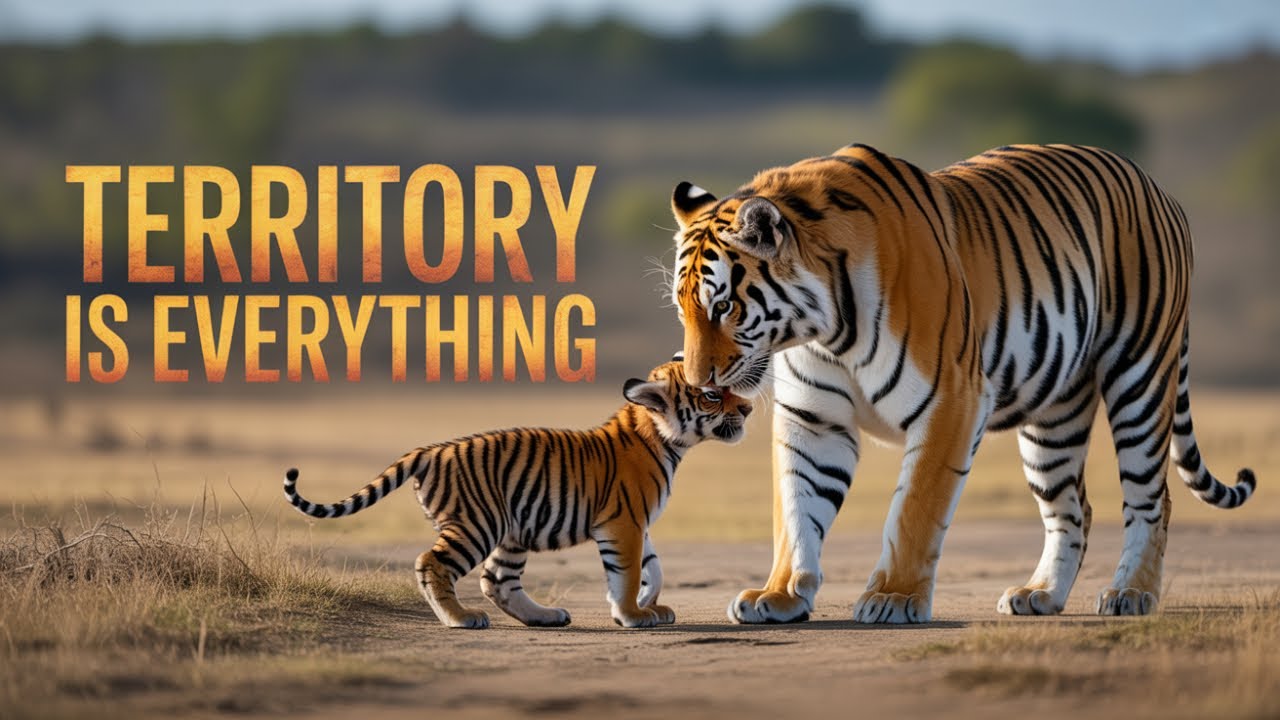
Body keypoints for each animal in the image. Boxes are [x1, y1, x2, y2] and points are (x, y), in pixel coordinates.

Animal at [283, 359, 752, 629]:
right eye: (713, 395)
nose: (748, 408)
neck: (666, 439)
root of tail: (429, 450)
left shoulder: (637, 522)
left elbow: (653, 567)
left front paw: (651, 606)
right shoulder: (623, 523)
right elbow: (628, 571)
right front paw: (632, 615)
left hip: (510, 530)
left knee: (498, 580)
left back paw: (546, 617)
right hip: (476, 524)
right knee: (433, 563)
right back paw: (461, 618)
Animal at [667, 142, 1257, 624]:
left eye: (723, 307)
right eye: (683, 309)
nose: (698, 382)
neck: (825, 328)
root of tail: (1157, 186)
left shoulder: (951, 400)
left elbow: (914, 509)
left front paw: (893, 599)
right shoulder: (812, 419)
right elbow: (797, 507)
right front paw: (781, 594)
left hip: (1140, 376)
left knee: (1151, 497)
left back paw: (1131, 594)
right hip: (1055, 416)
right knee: (1073, 509)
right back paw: (1041, 594)